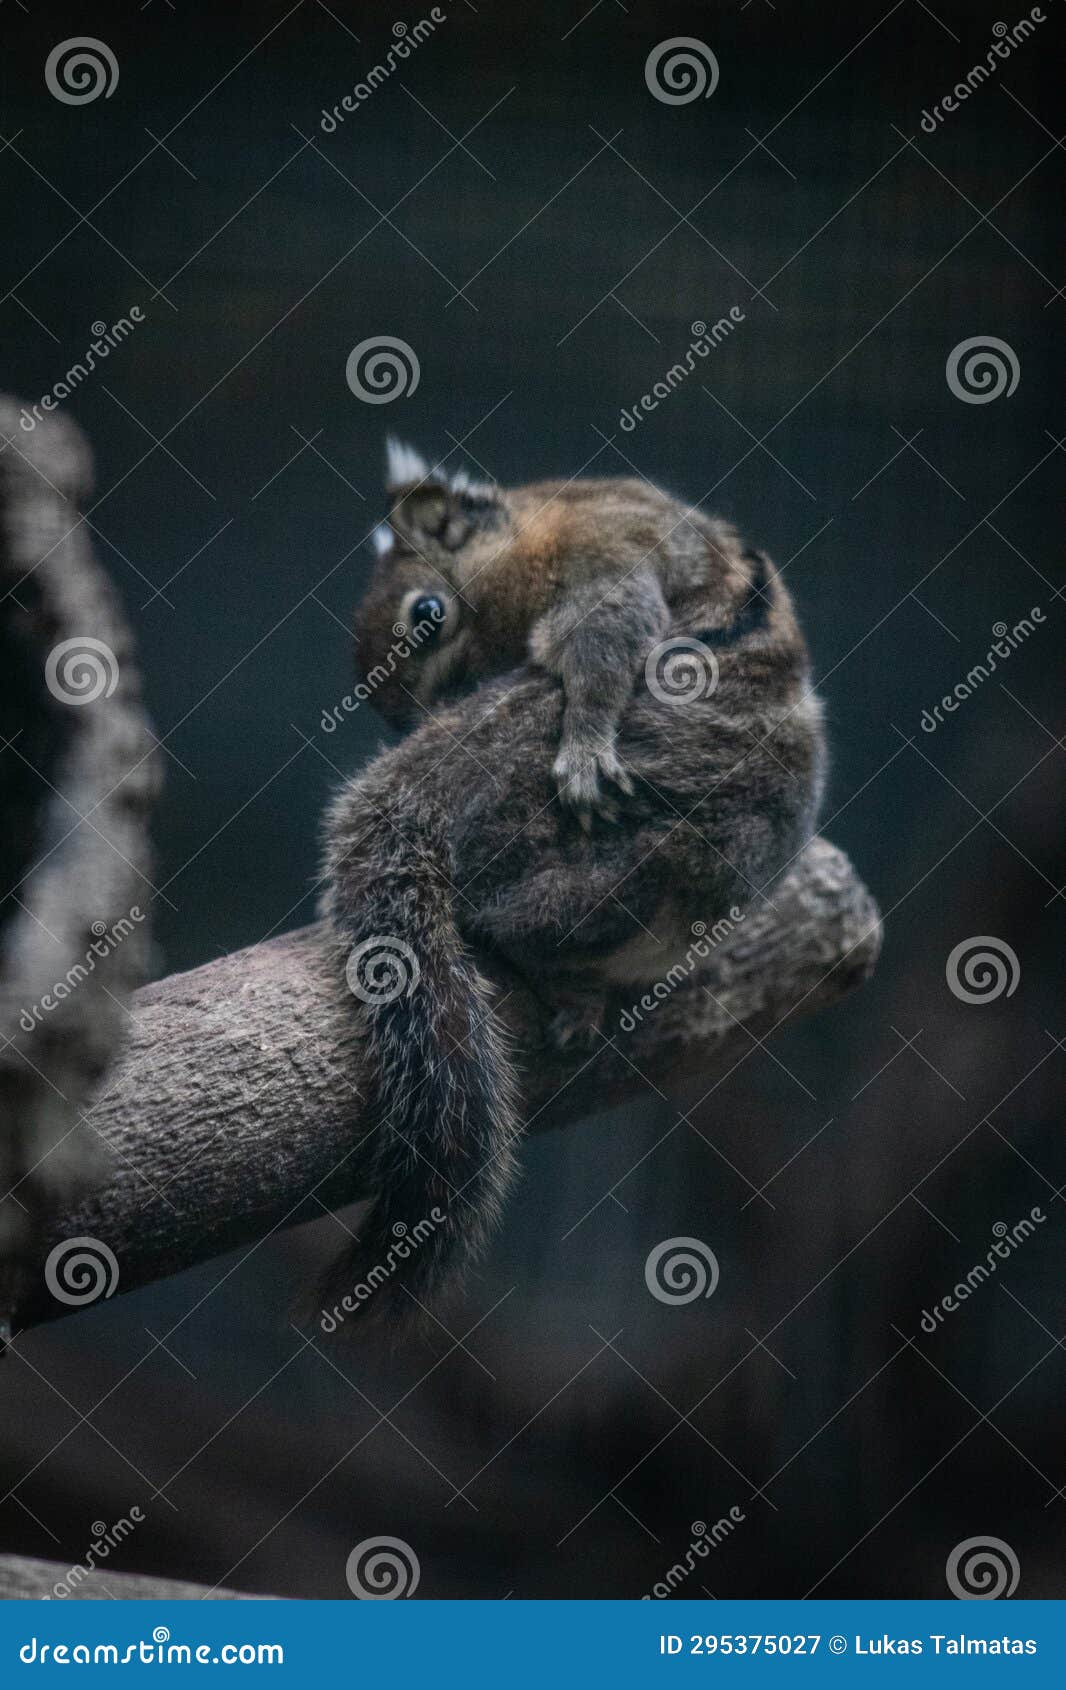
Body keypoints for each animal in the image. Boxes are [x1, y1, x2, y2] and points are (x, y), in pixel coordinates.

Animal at [318, 445, 825, 1324]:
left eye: (426, 615)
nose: (413, 715)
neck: (533, 522)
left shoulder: (605, 561)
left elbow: (601, 641)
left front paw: (586, 740)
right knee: (499, 922)